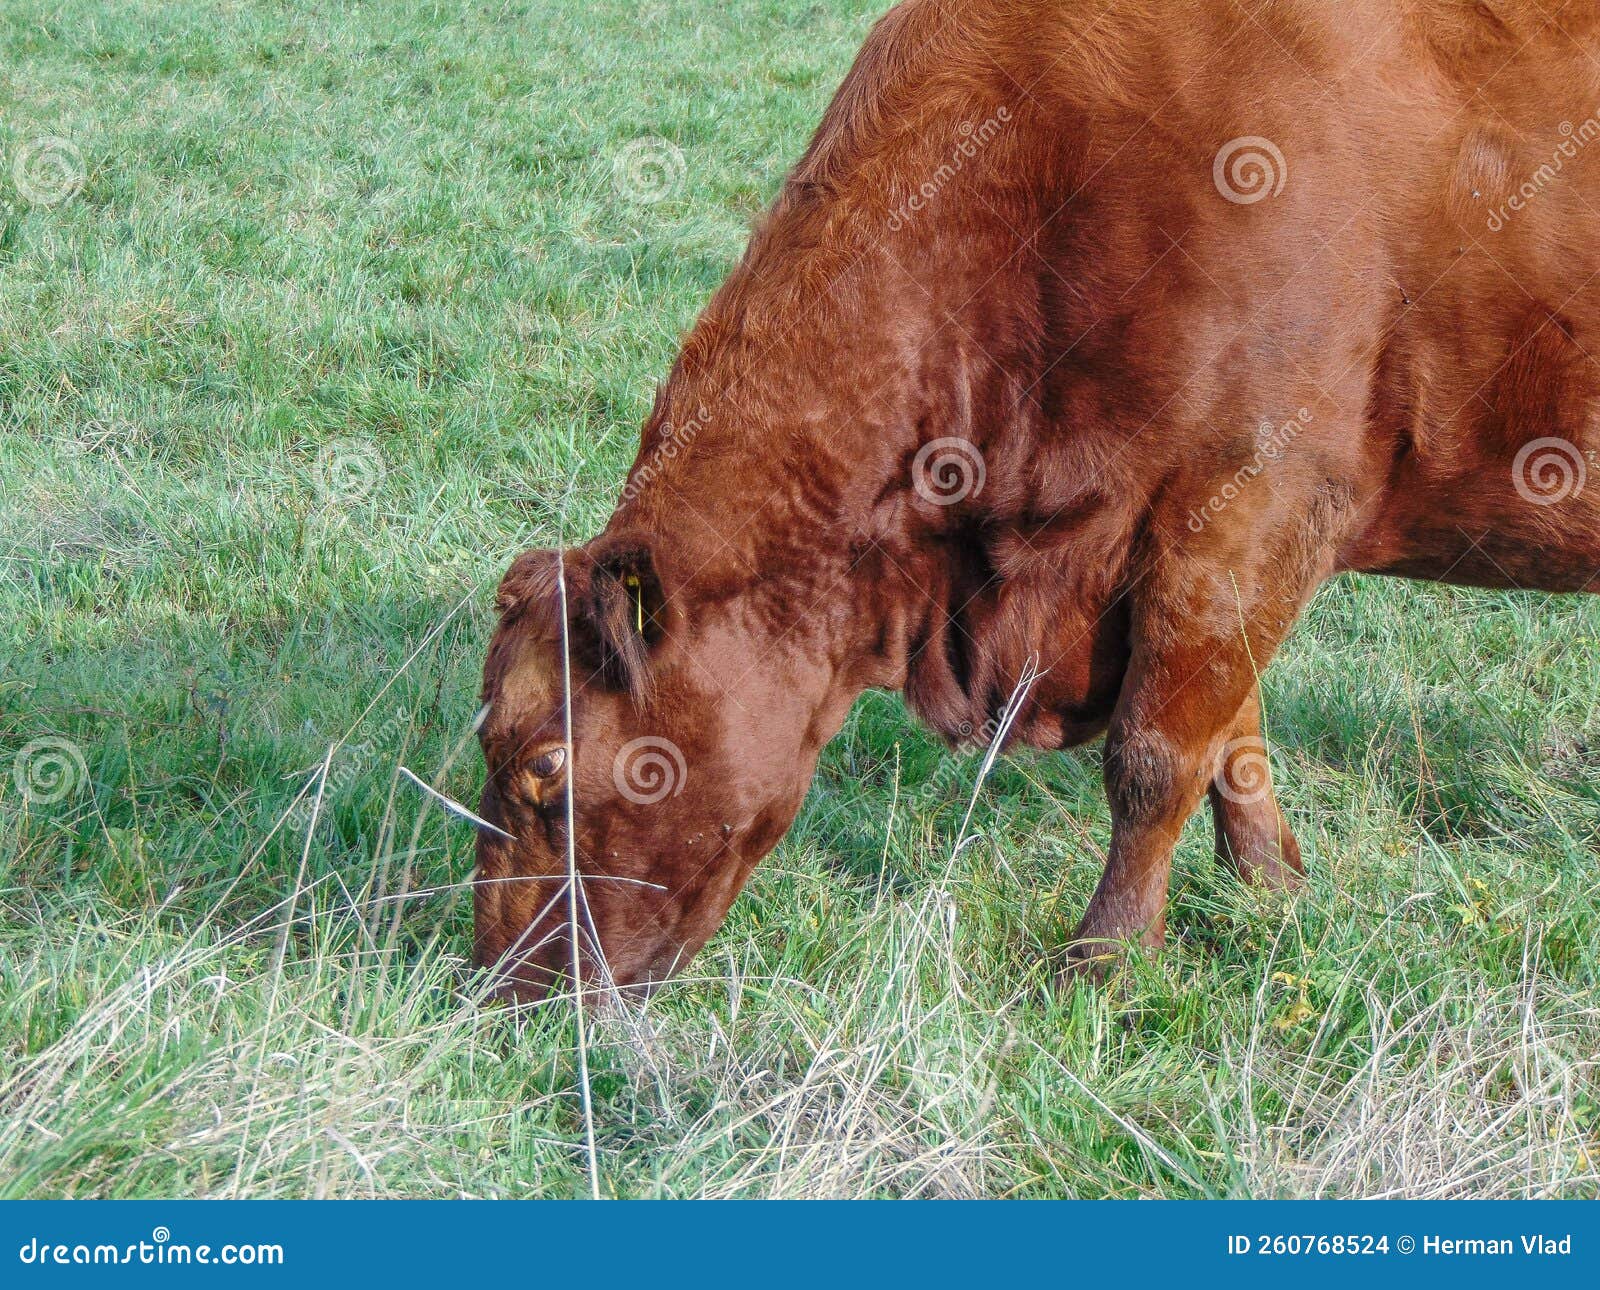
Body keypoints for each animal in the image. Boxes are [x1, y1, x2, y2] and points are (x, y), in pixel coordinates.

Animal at [474, 0, 1600, 1000]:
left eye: (544, 764)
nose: (495, 987)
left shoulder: (1251, 498)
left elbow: (1155, 757)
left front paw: (1103, 962)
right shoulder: (1200, 540)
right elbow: (1232, 733)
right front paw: (1270, 891)